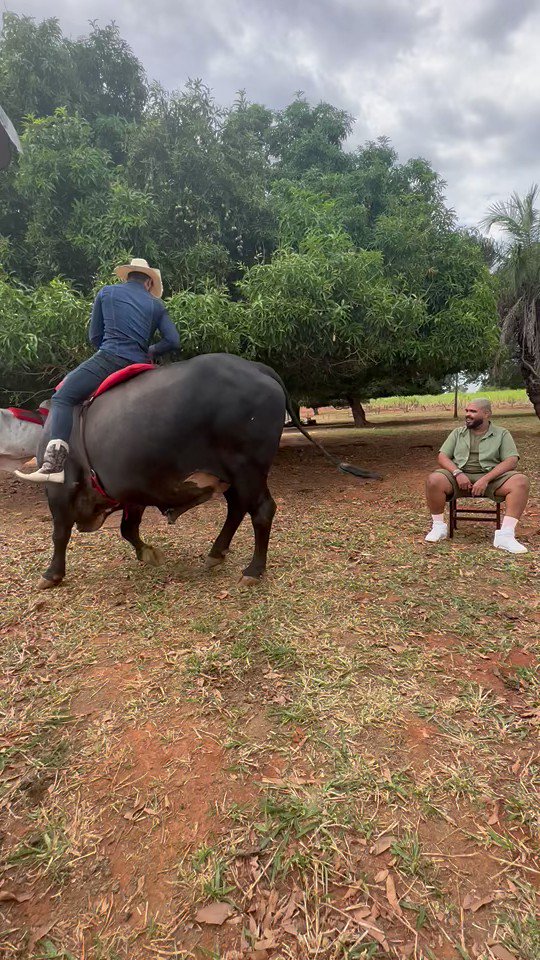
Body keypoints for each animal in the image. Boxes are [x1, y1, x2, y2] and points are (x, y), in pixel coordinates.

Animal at [35, 356, 378, 588]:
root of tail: (257, 367)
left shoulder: (60, 489)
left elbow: (60, 532)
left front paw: (52, 574)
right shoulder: (133, 492)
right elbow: (128, 529)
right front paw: (148, 553)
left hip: (248, 467)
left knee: (261, 510)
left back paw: (253, 570)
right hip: (233, 474)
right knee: (238, 507)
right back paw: (216, 552)